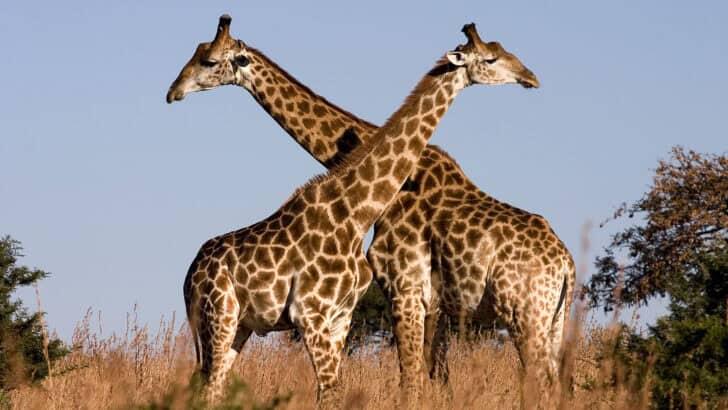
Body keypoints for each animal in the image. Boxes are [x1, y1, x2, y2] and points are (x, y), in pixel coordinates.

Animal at [167, 15, 564, 407]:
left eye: (208, 61)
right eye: (493, 57)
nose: (173, 91)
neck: (353, 207)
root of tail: (567, 265)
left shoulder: (377, 300)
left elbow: (406, 382)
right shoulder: (387, 300)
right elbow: (414, 382)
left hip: (531, 316)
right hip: (222, 317)